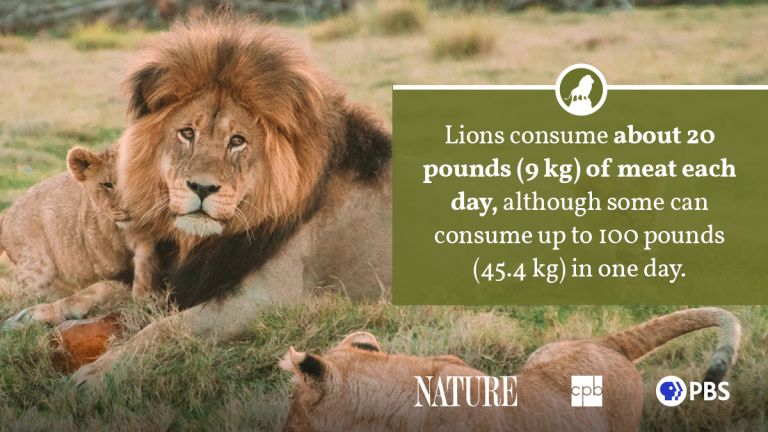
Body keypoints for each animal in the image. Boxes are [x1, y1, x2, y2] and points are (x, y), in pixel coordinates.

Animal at [68, 16, 392, 384]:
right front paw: (42, 311)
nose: (202, 187)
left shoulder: (271, 299)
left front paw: (96, 373)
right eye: (187, 133)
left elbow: (164, 328)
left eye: (237, 141)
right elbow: (107, 287)